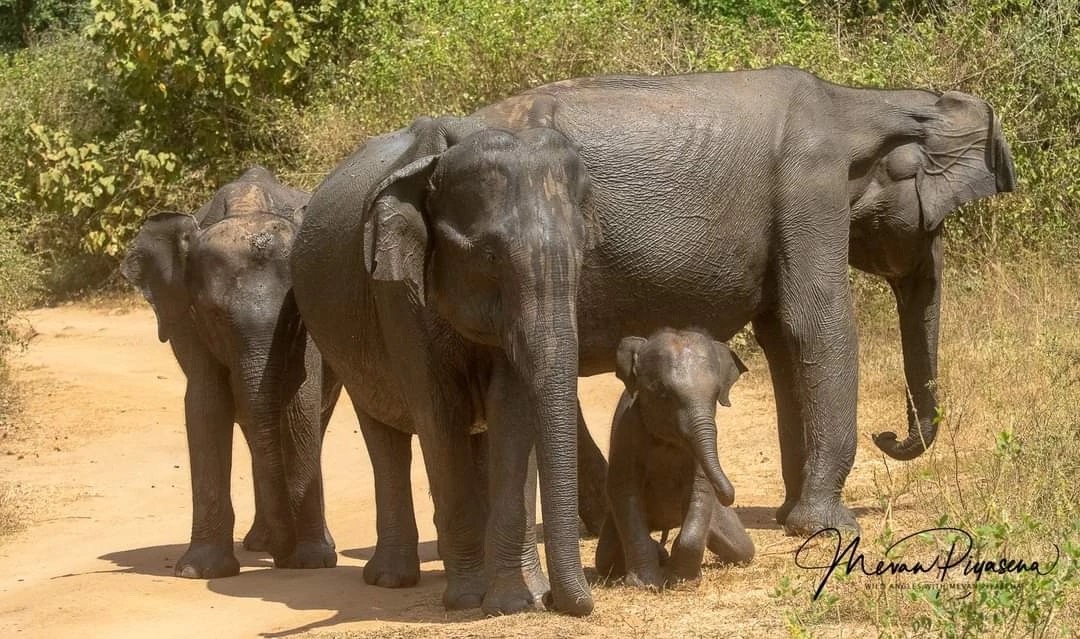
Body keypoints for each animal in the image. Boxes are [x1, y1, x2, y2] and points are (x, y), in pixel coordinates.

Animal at [118, 167, 339, 578]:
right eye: (214, 314)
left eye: (294, 314)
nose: (282, 560)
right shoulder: (185, 316)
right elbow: (206, 404)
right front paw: (200, 571)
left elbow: (300, 403)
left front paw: (312, 562)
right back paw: (260, 543)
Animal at [596, 332, 756, 591]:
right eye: (664, 394)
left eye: (716, 395)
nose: (729, 496)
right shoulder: (625, 430)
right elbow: (624, 490)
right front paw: (646, 585)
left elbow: (700, 488)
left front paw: (682, 582)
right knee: (603, 558)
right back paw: (660, 555)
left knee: (743, 549)